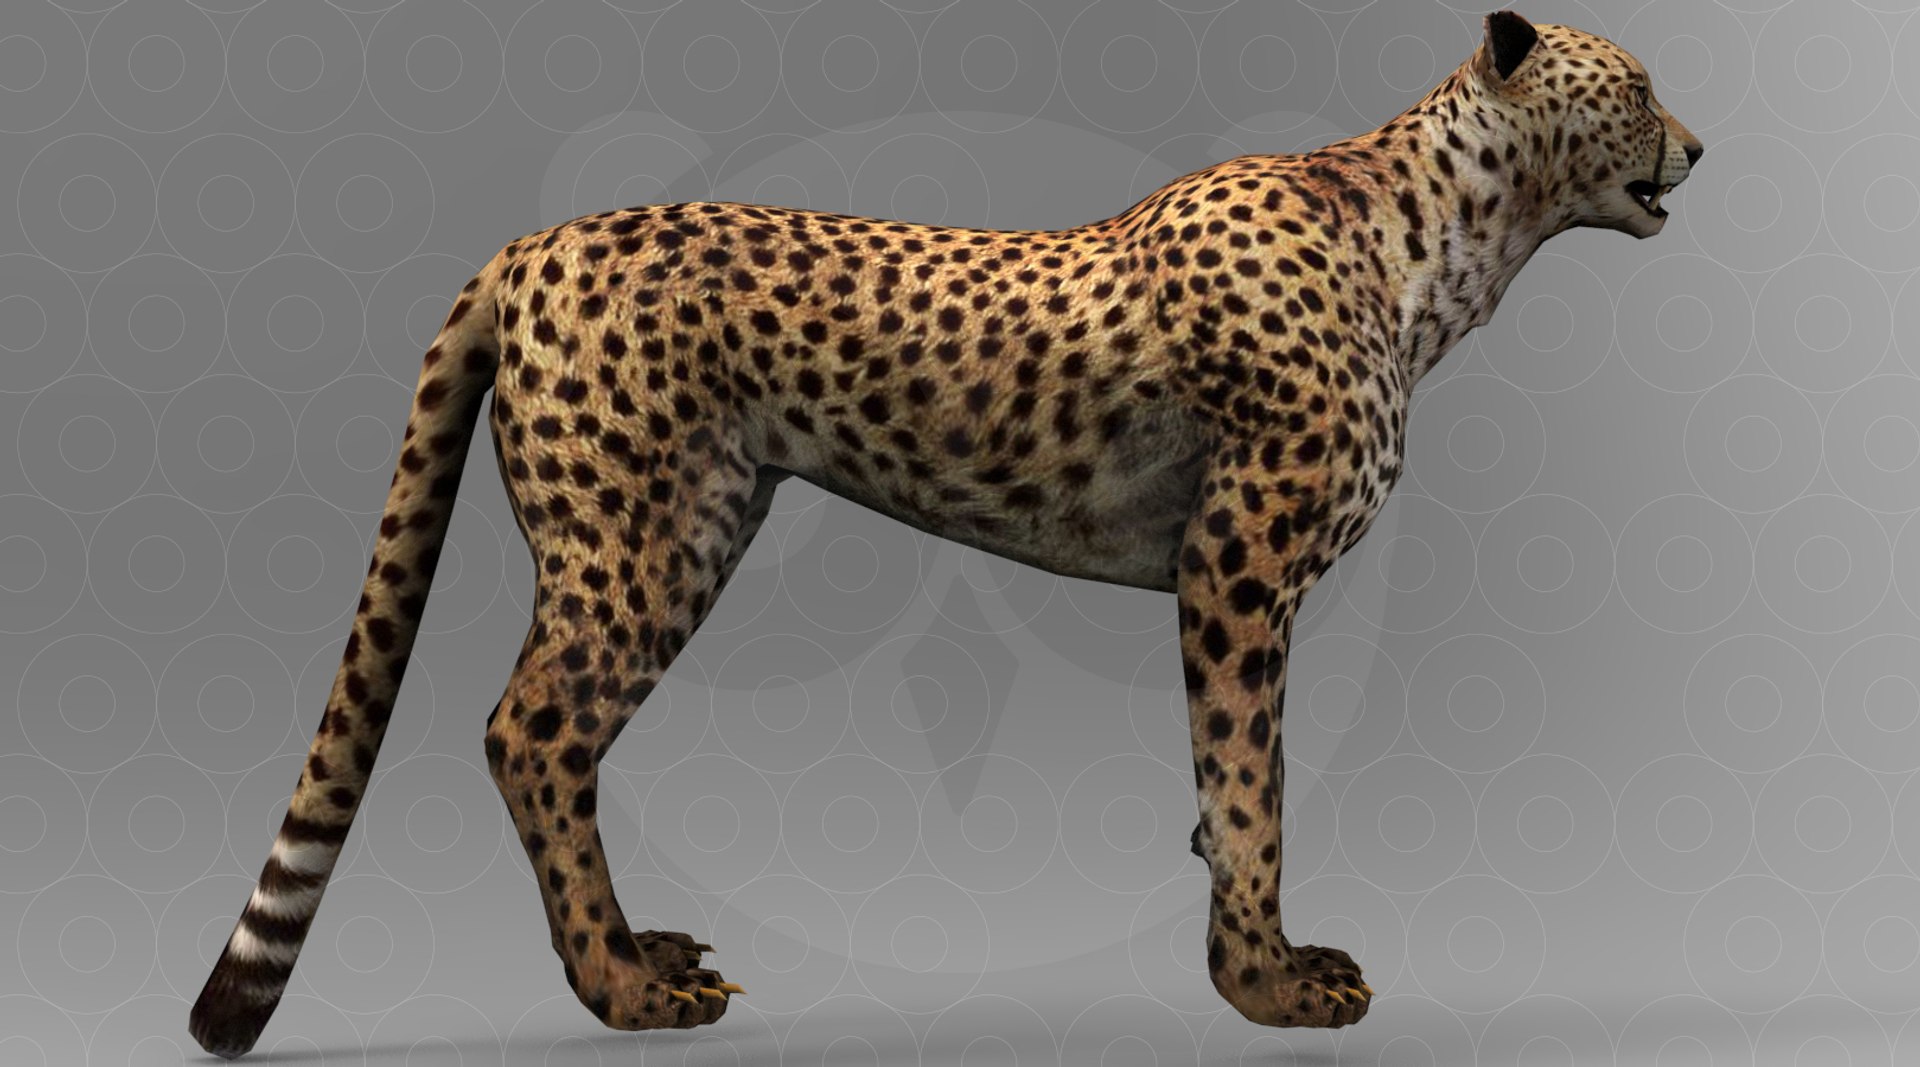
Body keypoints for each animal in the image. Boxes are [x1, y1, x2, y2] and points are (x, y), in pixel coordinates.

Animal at [189, 11, 1702, 1057]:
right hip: (639, 541)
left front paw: (1244, 950)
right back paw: (621, 985)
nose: (1697, 147)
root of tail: (537, 238)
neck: (1444, 238)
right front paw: (1267, 982)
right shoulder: (1236, 565)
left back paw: (636, 946)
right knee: (534, 726)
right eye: (1633, 88)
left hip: (703, 522)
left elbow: (1230, 786)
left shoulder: (1231, 572)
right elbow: (1251, 782)